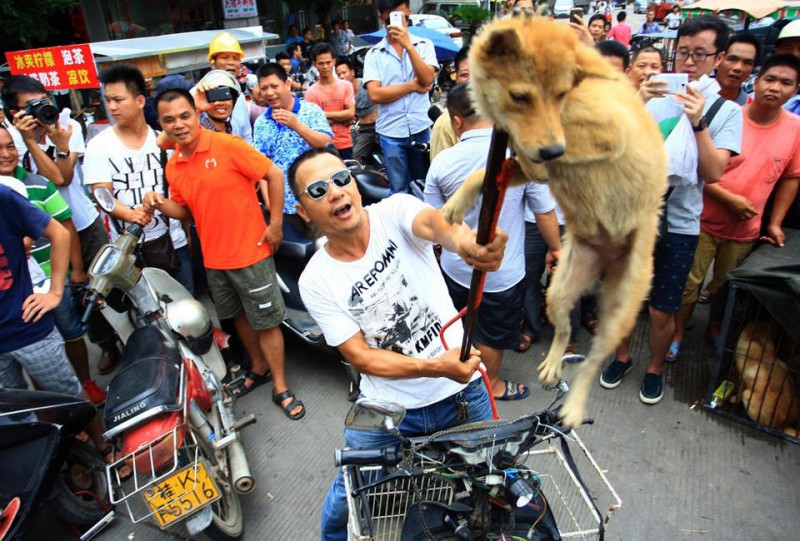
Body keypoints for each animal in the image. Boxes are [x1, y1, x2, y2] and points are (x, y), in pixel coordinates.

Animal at [444, 14, 668, 426]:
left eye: (562, 95)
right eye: (521, 96)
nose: (549, 151)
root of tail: (606, 261)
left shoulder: (605, 133)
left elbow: (553, 150)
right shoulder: (523, 155)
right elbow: (485, 173)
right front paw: (456, 203)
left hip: (620, 310)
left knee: (593, 361)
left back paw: (575, 405)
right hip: (558, 290)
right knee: (564, 330)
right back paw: (551, 364)